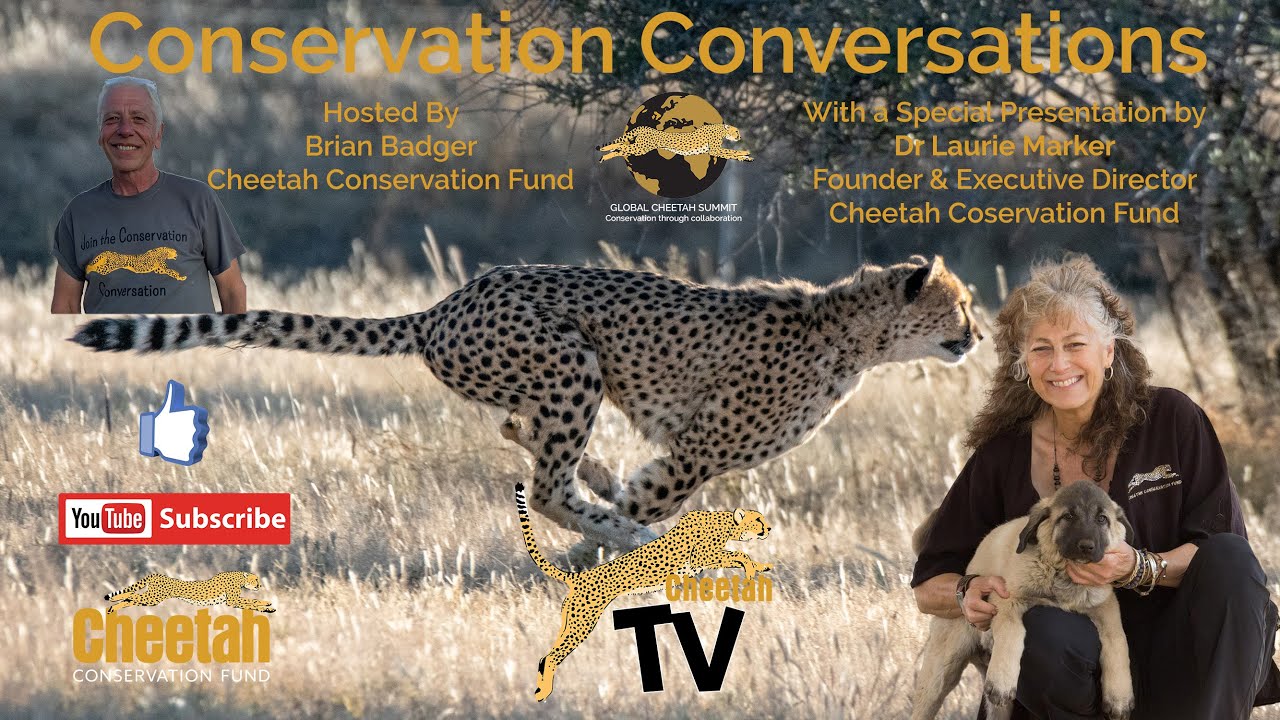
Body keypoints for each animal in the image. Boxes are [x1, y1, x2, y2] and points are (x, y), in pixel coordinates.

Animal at [72, 255, 981, 550]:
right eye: (960, 306)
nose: (977, 335)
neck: (855, 333)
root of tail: (446, 303)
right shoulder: (698, 451)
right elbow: (655, 496)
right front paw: (615, 549)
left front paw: (608, 533)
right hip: (573, 363)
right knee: (544, 485)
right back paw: (618, 526)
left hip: (556, 383)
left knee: (526, 438)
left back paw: (601, 491)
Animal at [104, 571, 275, 615]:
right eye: (255, 579)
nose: (260, 585)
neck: (240, 578)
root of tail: (157, 574)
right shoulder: (232, 600)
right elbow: (250, 603)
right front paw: (267, 607)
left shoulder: (234, 600)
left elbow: (253, 602)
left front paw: (268, 605)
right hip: (153, 598)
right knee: (131, 596)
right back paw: (113, 603)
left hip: (149, 599)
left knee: (130, 599)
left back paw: (111, 608)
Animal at [515, 482, 771, 701]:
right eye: (758, 519)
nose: (768, 528)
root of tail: (578, 578)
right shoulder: (702, 555)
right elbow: (737, 556)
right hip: (582, 621)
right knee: (550, 656)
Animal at [597, 123, 753, 163]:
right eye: (736, 131)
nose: (739, 137)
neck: (722, 130)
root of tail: (645, 127)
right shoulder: (714, 150)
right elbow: (730, 152)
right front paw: (745, 153)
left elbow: (730, 153)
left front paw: (747, 158)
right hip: (640, 148)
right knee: (621, 147)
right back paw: (604, 155)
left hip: (638, 146)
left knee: (621, 147)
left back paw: (603, 154)